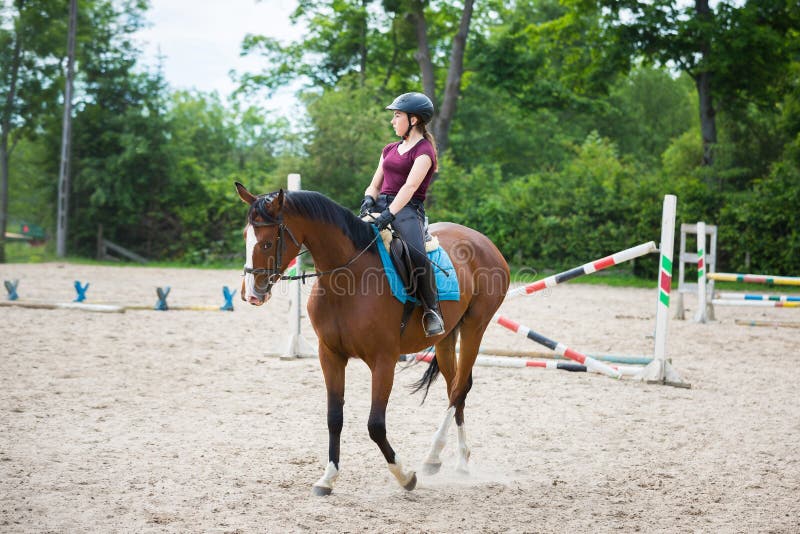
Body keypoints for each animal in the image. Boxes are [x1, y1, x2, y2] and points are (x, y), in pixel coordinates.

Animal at [235, 182, 510, 495]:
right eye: (245, 237)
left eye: (268, 243)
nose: (251, 294)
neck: (347, 279)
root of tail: (483, 241)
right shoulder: (330, 355)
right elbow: (334, 417)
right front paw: (327, 478)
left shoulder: (384, 360)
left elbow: (375, 424)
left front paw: (405, 476)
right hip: (445, 338)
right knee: (455, 387)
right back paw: (454, 460)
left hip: (475, 327)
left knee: (459, 389)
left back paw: (438, 457)